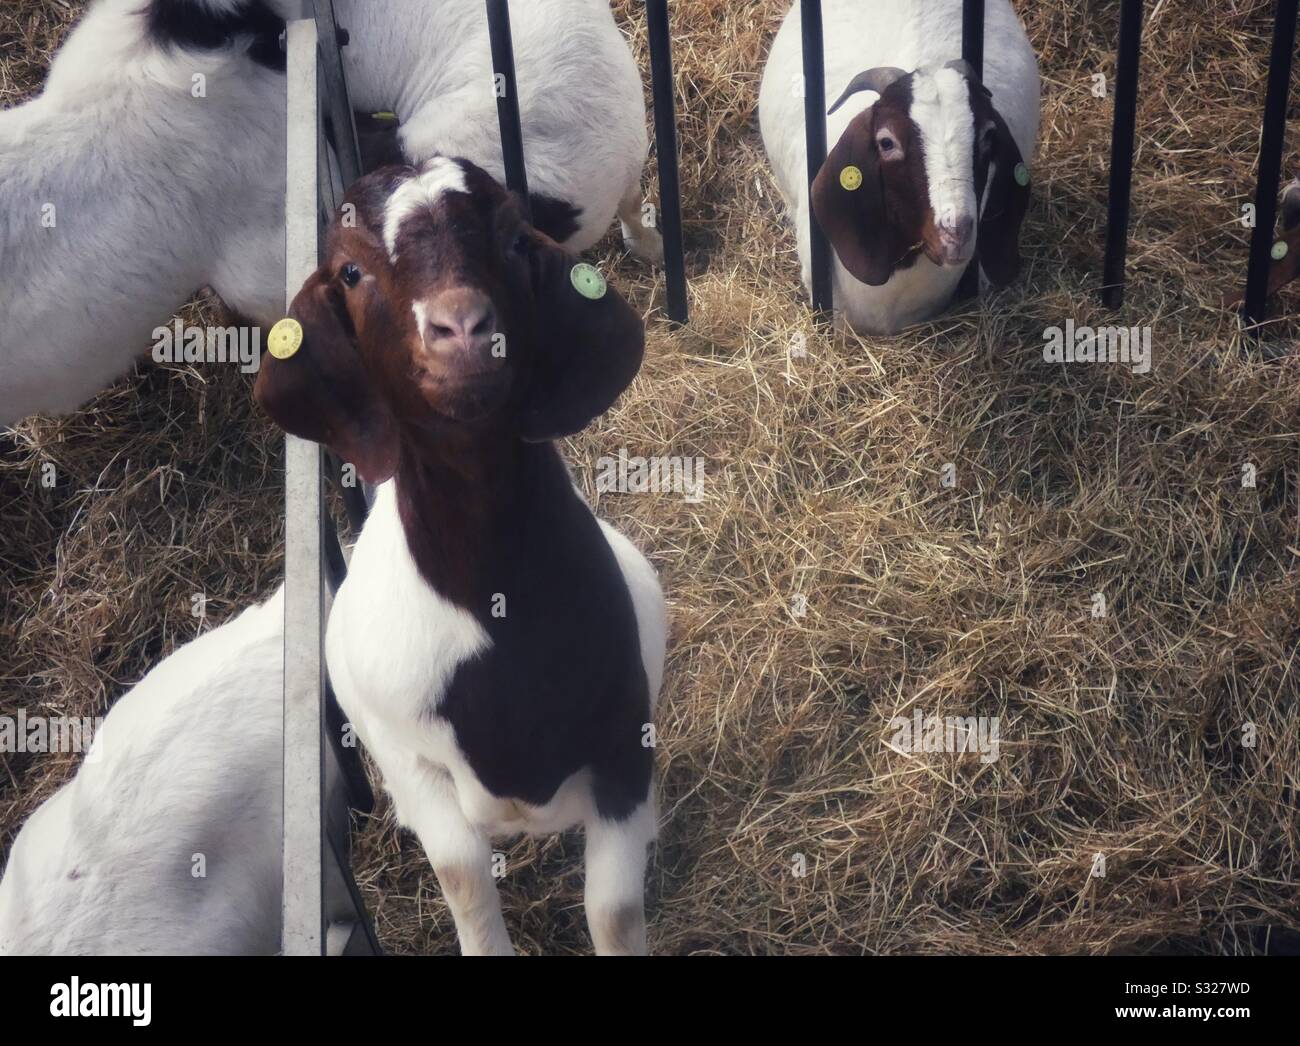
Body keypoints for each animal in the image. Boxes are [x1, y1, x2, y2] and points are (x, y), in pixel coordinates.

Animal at [254, 157, 668, 956]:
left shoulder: (624, 744)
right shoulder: (411, 762)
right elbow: (464, 879)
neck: (490, 608)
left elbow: (614, 911)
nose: (461, 327)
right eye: (350, 270)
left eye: (511, 238)